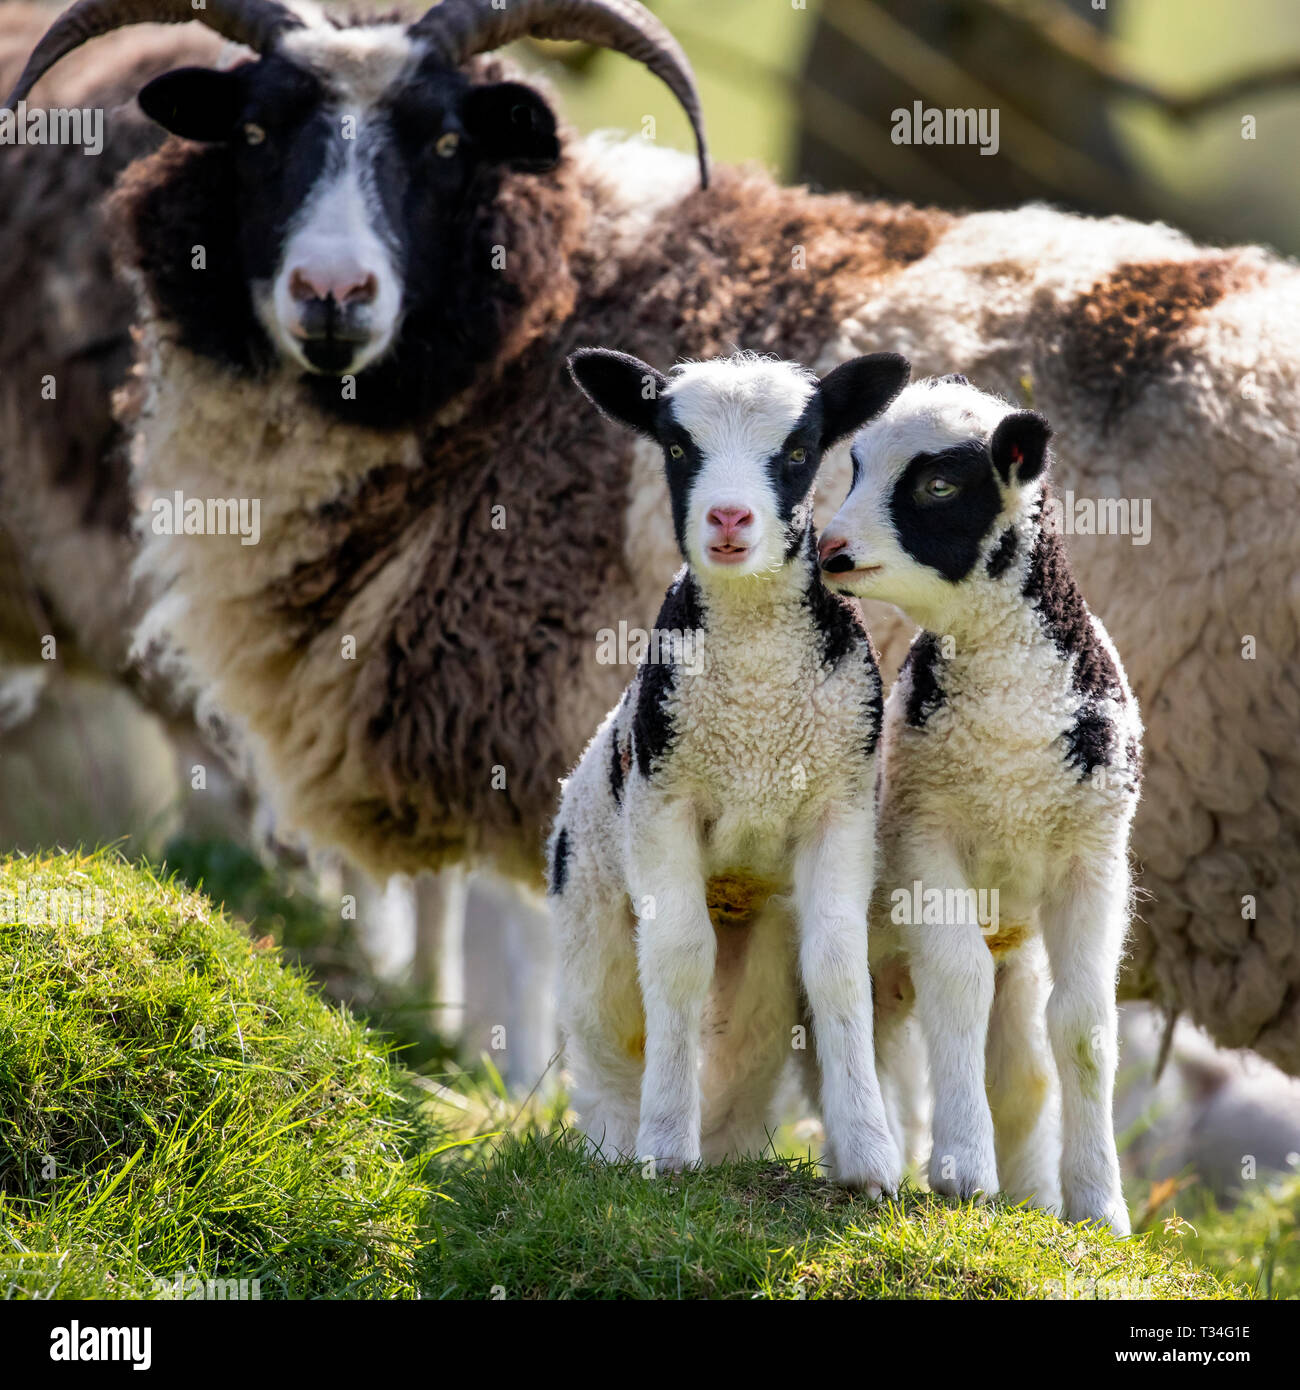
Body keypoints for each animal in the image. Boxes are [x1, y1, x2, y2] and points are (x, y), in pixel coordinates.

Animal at [553, 346, 908, 1184]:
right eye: (678, 448)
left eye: (800, 451)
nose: (728, 519)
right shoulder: (663, 803)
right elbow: (679, 958)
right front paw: (665, 1150)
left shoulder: (842, 806)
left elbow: (839, 967)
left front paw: (871, 1162)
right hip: (592, 915)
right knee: (607, 1038)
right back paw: (617, 1145)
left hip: (764, 945)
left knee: (748, 1048)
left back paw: (731, 1150)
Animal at [817, 375, 1142, 1234]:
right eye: (854, 466)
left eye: (939, 484)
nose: (830, 550)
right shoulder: (926, 839)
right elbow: (958, 983)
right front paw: (963, 1172)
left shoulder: (1094, 859)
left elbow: (1085, 1025)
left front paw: (1099, 1206)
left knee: (1020, 1072)